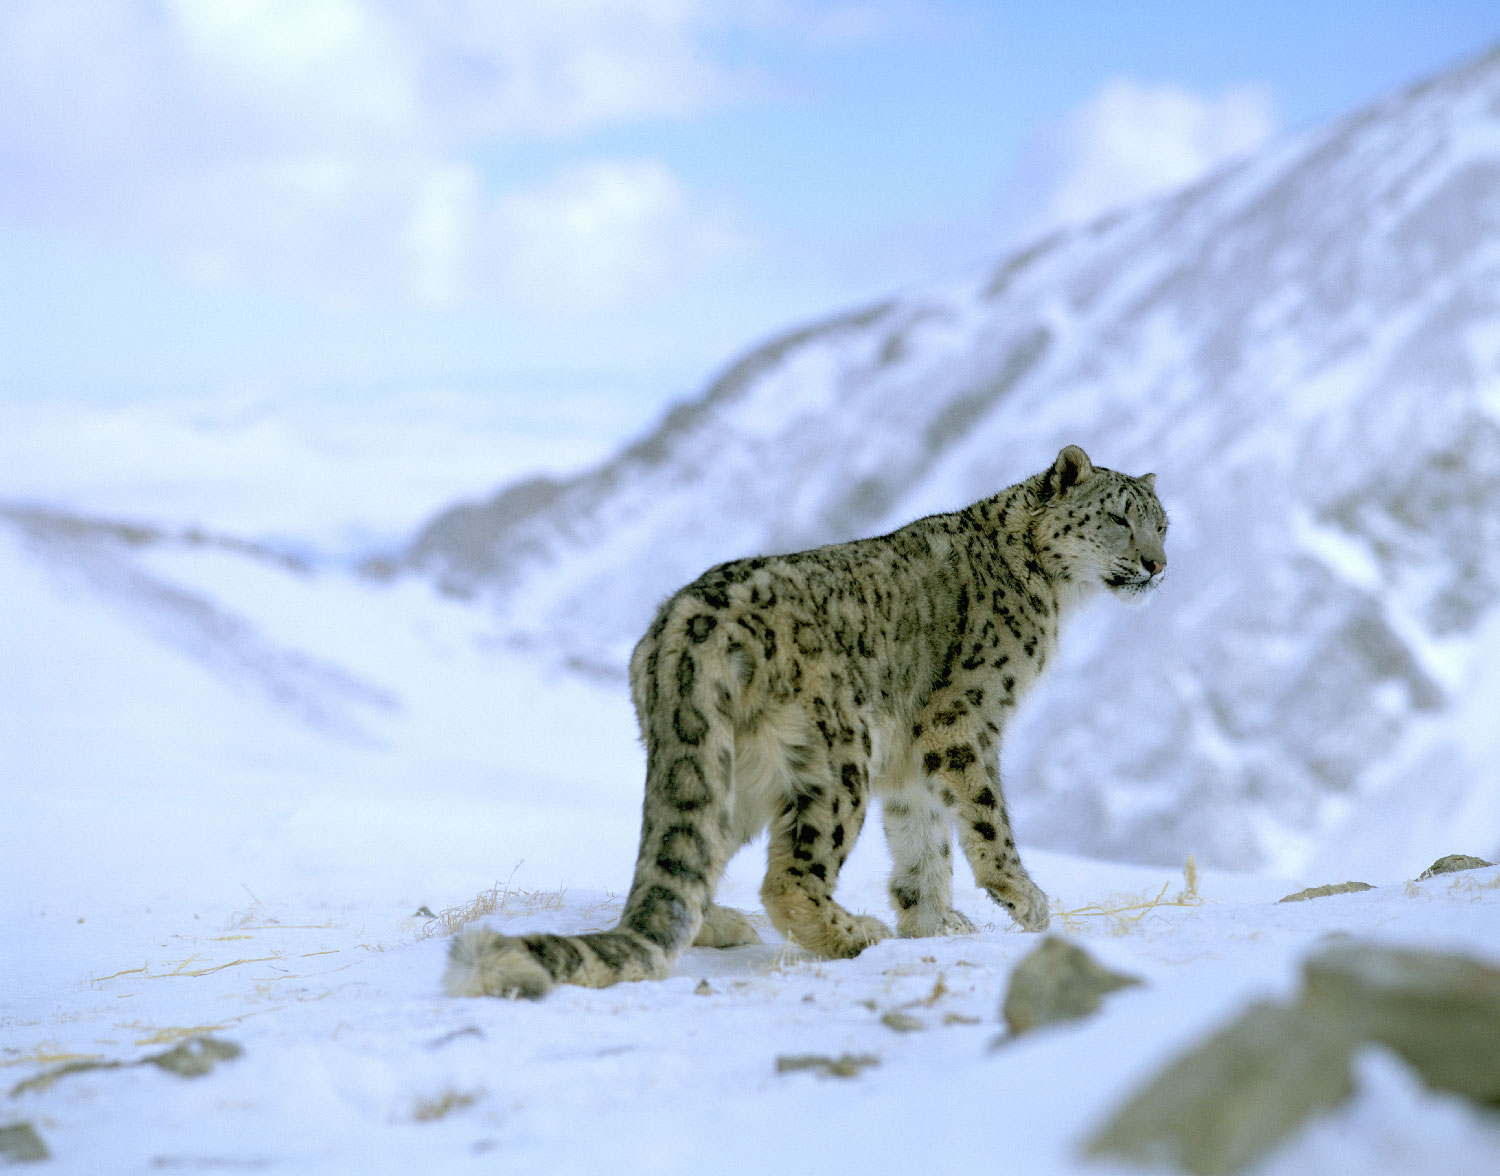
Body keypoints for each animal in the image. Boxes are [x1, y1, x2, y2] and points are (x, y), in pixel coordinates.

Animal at [445, 444, 1168, 998]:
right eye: (1117, 519)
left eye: (1162, 525)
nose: (1158, 565)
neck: (1053, 596)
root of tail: (682, 630)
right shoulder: (964, 722)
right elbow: (986, 818)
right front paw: (1027, 902)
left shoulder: (910, 757)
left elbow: (922, 837)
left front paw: (934, 920)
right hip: (837, 756)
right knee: (790, 877)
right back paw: (853, 933)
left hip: (730, 770)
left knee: (692, 858)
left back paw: (723, 924)